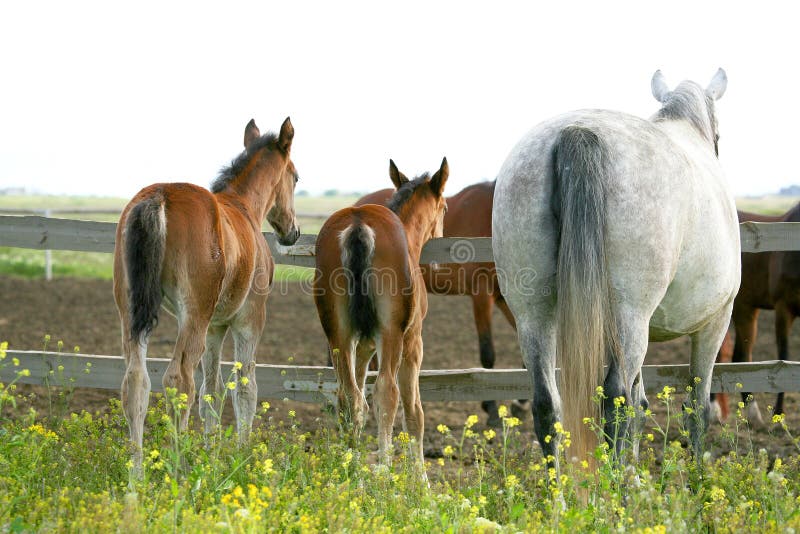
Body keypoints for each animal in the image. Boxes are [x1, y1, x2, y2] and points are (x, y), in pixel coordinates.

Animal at [113, 117, 300, 472]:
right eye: (296, 177)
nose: (292, 232)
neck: (245, 208)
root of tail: (159, 196)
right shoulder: (249, 319)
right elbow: (245, 389)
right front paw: (241, 456)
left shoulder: (215, 326)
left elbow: (212, 390)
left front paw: (212, 457)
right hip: (194, 315)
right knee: (178, 380)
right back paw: (181, 471)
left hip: (131, 311)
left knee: (136, 383)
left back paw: (137, 475)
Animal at [314, 158, 448, 470]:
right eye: (446, 208)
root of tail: (358, 223)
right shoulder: (412, 342)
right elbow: (414, 412)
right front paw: (419, 478)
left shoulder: (363, 345)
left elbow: (358, 393)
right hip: (391, 335)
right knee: (386, 392)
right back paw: (384, 470)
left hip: (339, 335)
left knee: (349, 395)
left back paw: (351, 469)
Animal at [492, 69, 740, 468]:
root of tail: (576, 132)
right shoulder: (715, 320)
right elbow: (696, 409)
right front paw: (698, 478)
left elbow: (640, 405)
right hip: (629, 318)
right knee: (614, 398)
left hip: (533, 313)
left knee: (547, 402)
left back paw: (560, 488)